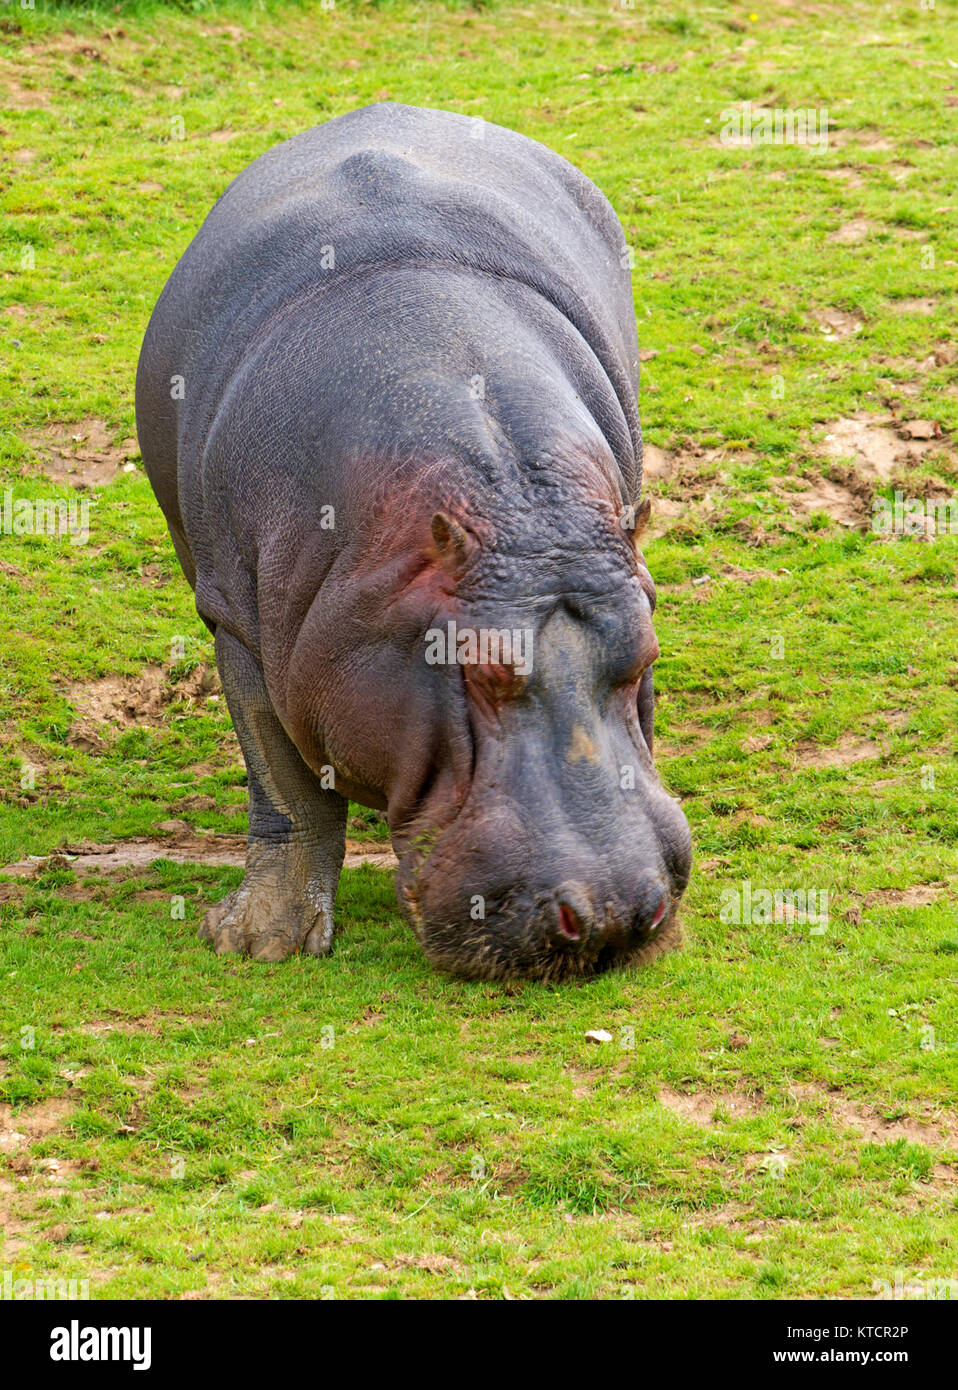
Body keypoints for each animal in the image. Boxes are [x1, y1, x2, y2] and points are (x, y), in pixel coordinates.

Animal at [135, 102, 692, 981]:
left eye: (647, 655)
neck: (516, 502)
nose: (611, 915)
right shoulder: (235, 616)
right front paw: (262, 941)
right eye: (475, 668)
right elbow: (282, 779)